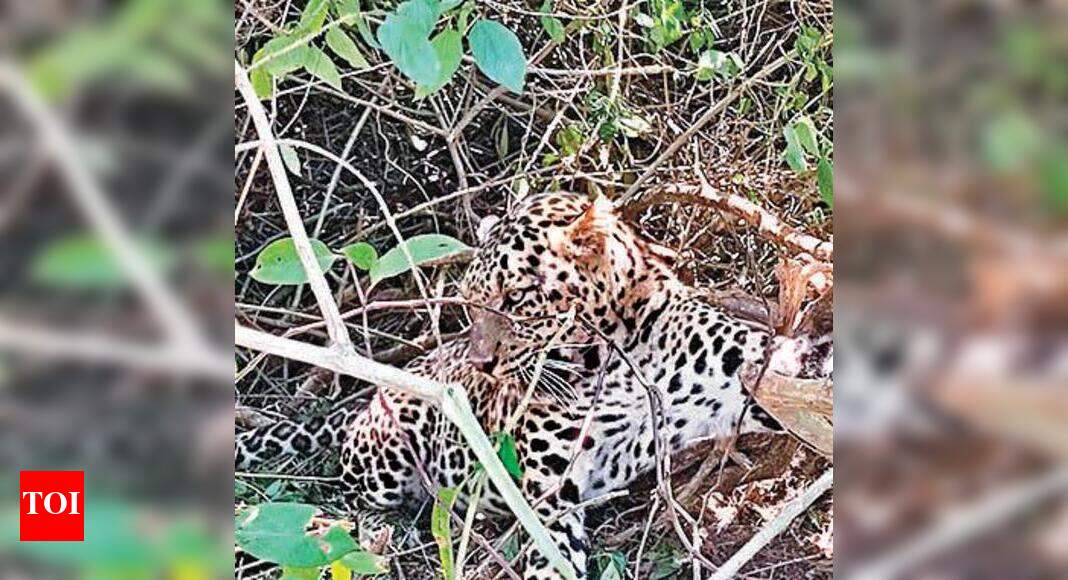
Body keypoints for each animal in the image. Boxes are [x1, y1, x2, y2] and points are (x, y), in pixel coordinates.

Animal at [236, 191, 832, 580]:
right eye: (470, 302)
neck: (615, 356)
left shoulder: (753, 372)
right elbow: (551, 562)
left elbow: (804, 367)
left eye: (516, 298)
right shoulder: (549, 497)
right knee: (360, 489)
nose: (479, 363)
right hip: (385, 458)